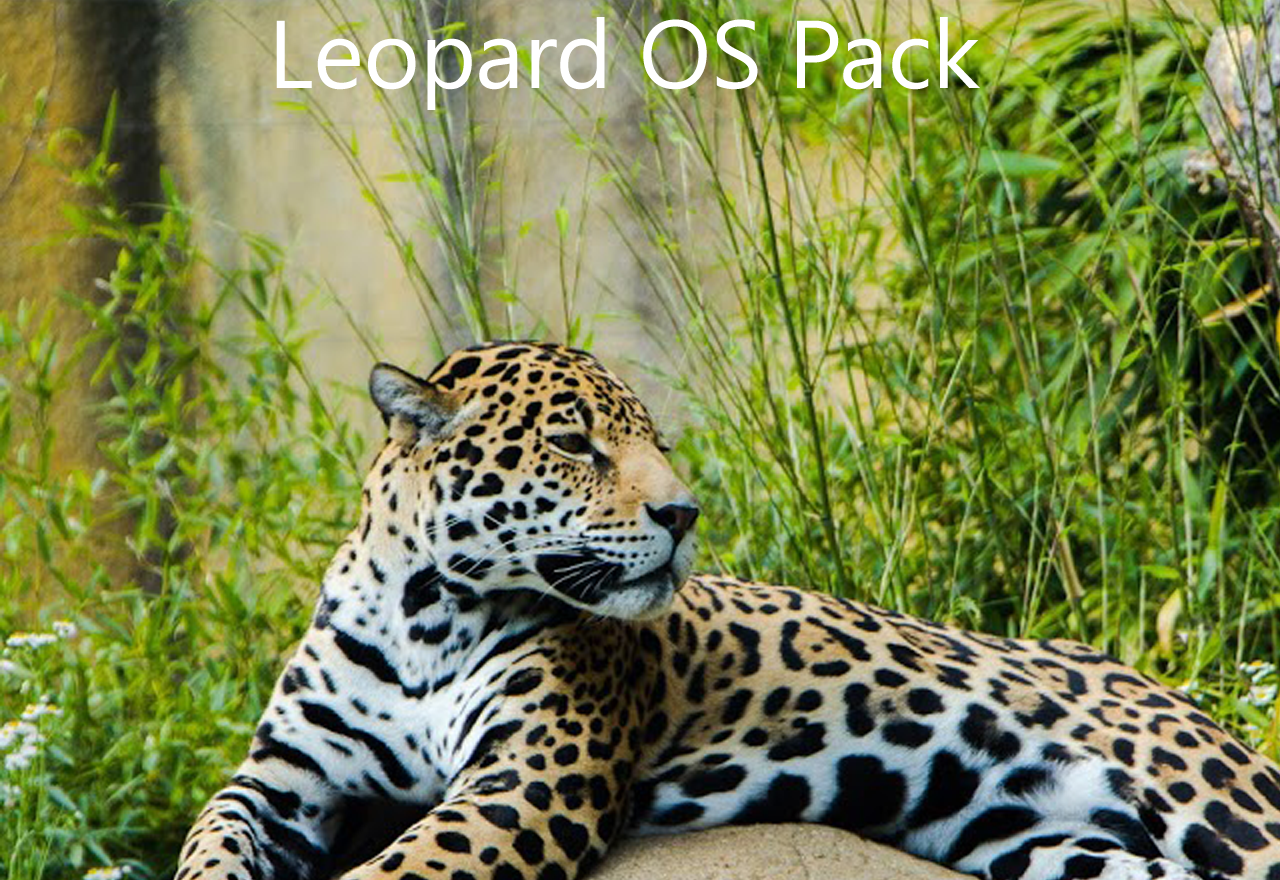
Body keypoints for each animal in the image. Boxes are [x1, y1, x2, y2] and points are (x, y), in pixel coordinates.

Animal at [176, 340, 1280, 880]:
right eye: (573, 443)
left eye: (655, 442)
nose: (683, 511)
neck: (425, 613)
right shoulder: (283, 778)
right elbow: (207, 841)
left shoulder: (530, 777)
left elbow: (406, 867)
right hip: (1057, 848)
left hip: (1213, 801)